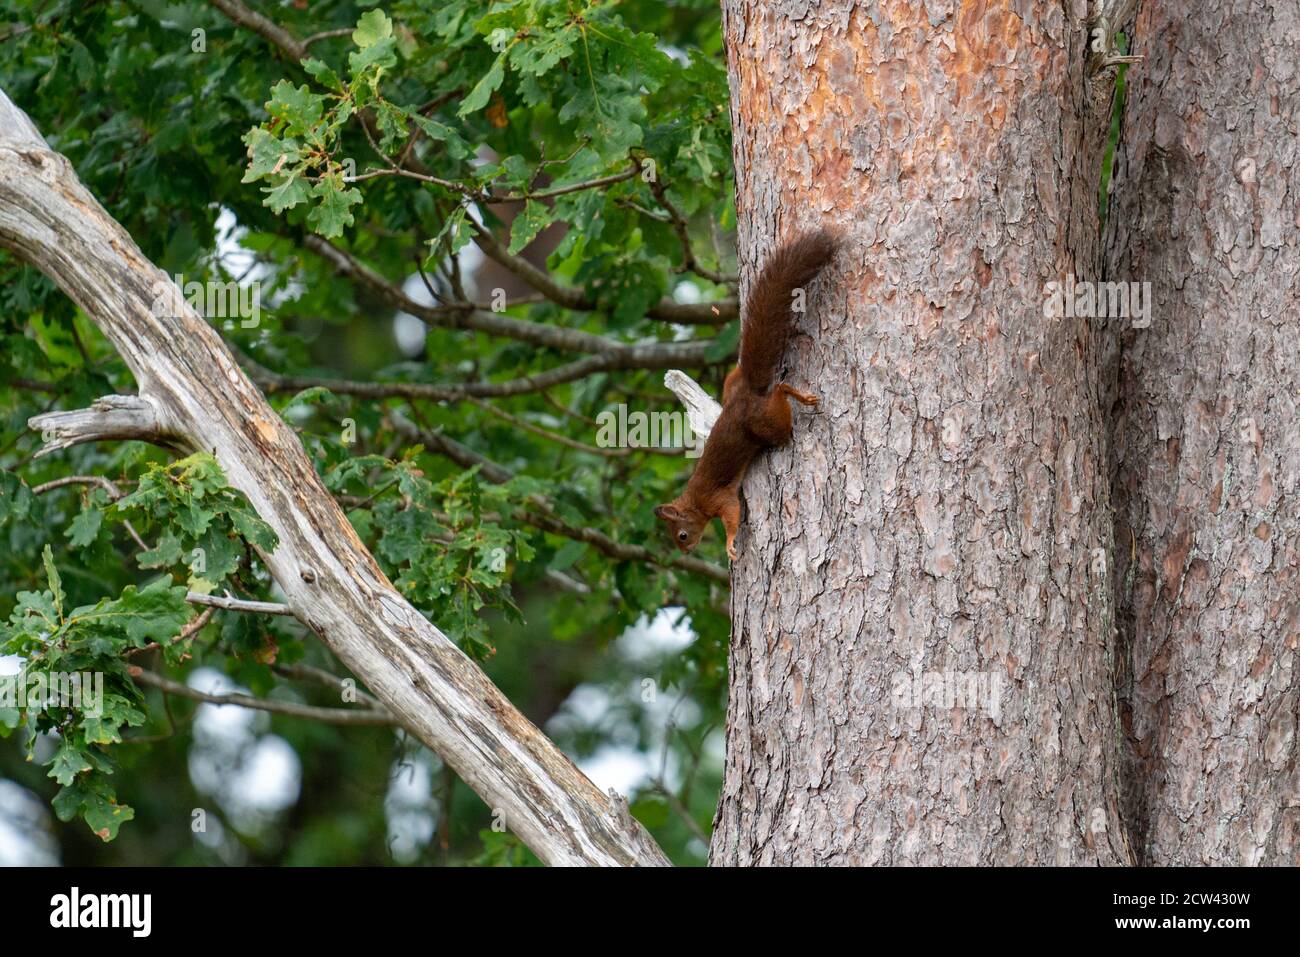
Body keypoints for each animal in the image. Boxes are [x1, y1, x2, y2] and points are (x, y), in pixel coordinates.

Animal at [654, 229, 838, 561]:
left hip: (768, 423)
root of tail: (745, 396)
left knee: (780, 393)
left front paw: (729, 544)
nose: (686, 553)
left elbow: (731, 516)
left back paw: (801, 397)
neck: (694, 502)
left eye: (682, 535)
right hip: (733, 383)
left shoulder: (718, 498)